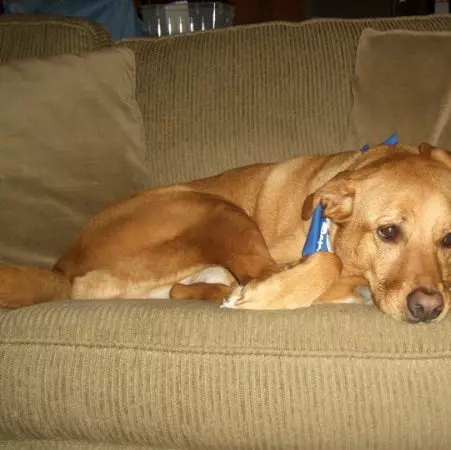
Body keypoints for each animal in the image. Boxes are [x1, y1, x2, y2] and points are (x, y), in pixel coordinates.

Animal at [0, 142, 451, 322]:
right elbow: (329, 261)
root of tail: (62, 270)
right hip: (213, 208)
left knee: (181, 290)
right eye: (388, 231)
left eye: (448, 240)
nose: (429, 309)